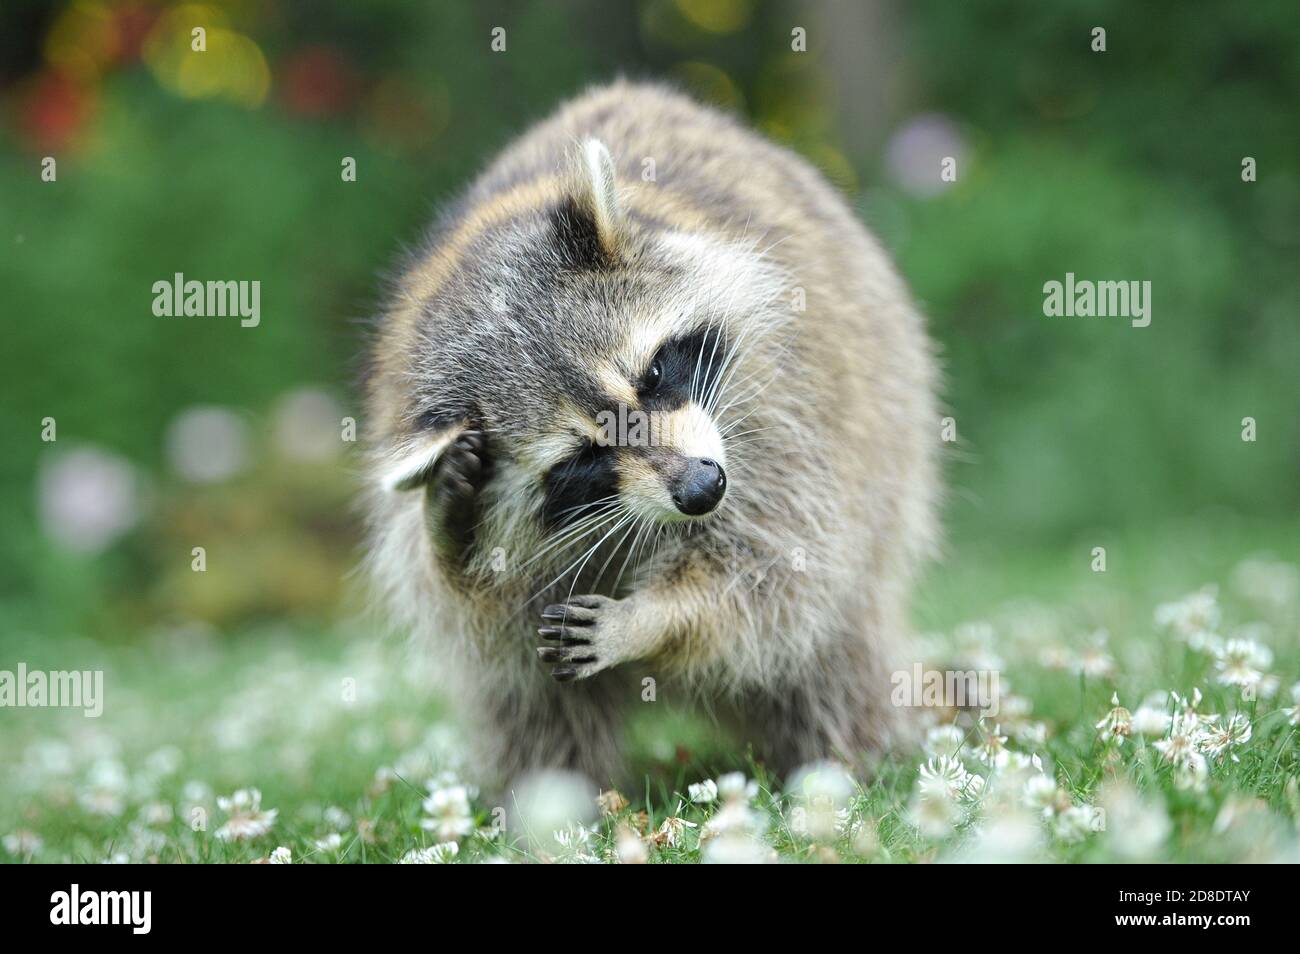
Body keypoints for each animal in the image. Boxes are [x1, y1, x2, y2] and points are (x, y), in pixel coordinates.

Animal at [365, 81, 939, 789]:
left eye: (654, 374)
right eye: (583, 459)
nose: (700, 490)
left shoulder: (785, 410)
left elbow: (776, 567)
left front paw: (652, 618)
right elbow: (490, 630)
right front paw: (453, 534)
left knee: (827, 658)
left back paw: (846, 758)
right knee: (532, 711)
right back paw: (557, 799)